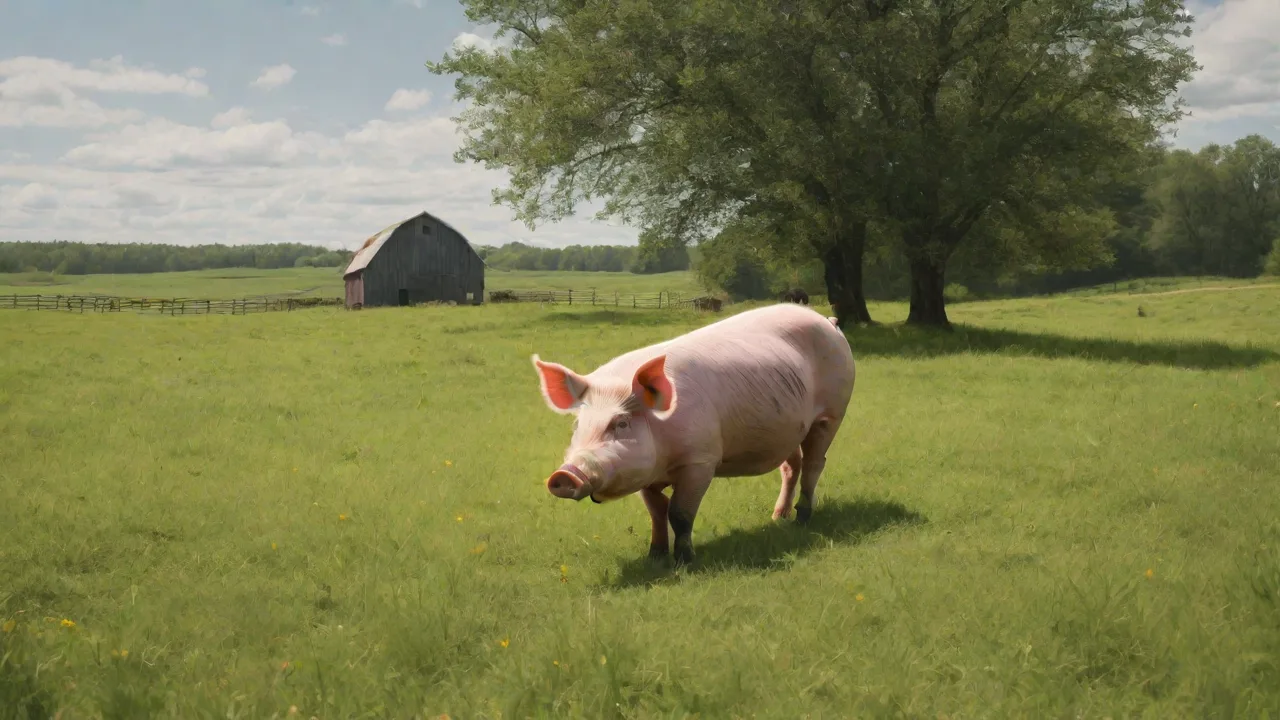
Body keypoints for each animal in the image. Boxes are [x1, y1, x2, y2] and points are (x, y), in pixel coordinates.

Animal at [531, 302, 856, 565]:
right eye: (578, 425)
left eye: (620, 423)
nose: (563, 475)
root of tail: (828, 321)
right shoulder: (647, 475)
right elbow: (656, 511)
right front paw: (654, 556)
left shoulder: (701, 461)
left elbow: (679, 513)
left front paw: (684, 561)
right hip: (789, 428)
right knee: (791, 466)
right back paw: (777, 517)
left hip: (832, 414)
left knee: (815, 463)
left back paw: (802, 518)